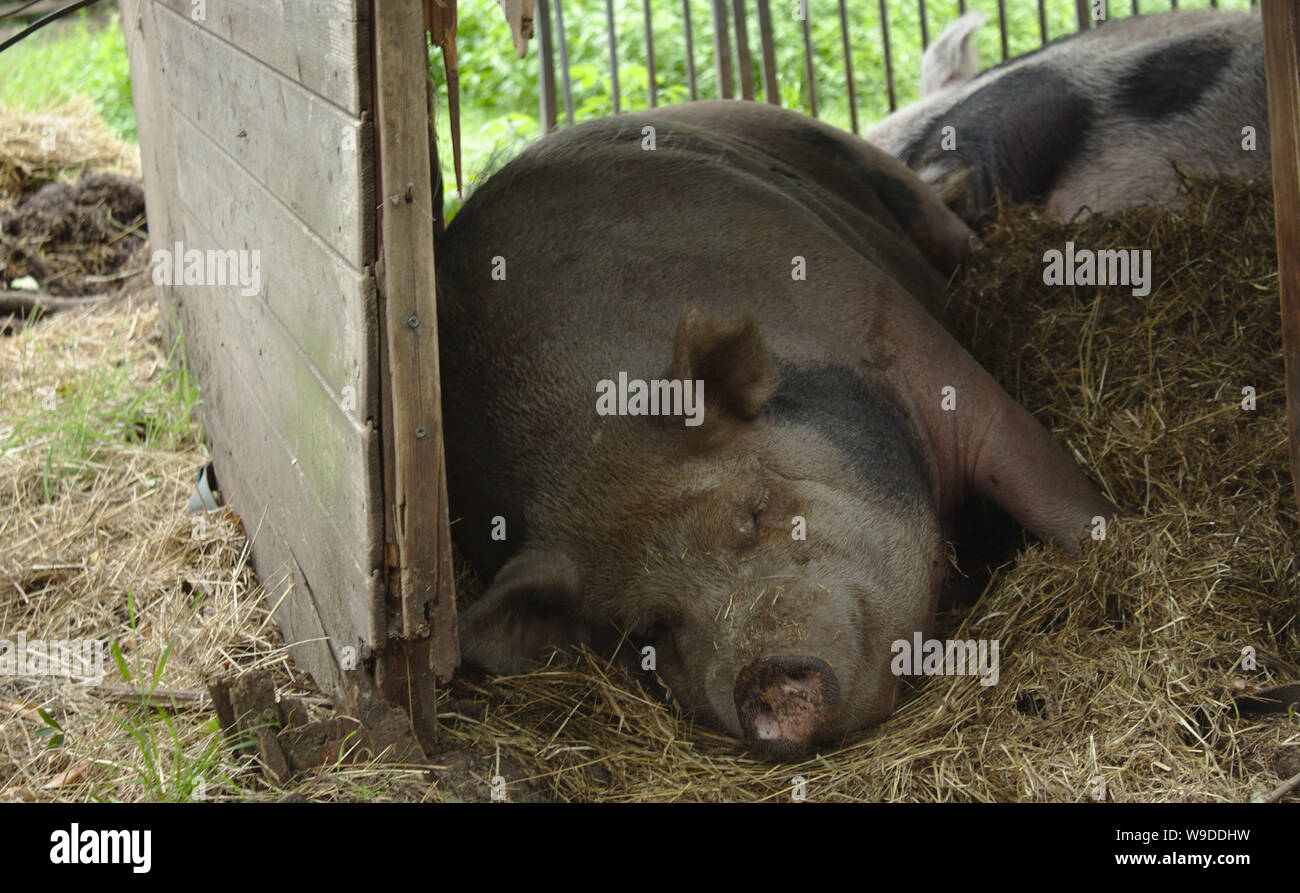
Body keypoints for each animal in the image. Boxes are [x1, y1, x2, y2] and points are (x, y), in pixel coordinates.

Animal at [437, 100, 1112, 760]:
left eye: (756, 509)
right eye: (652, 629)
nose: (760, 680)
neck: (587, 442)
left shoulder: (911, 345)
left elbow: (1033, 472)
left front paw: (1113, 541)